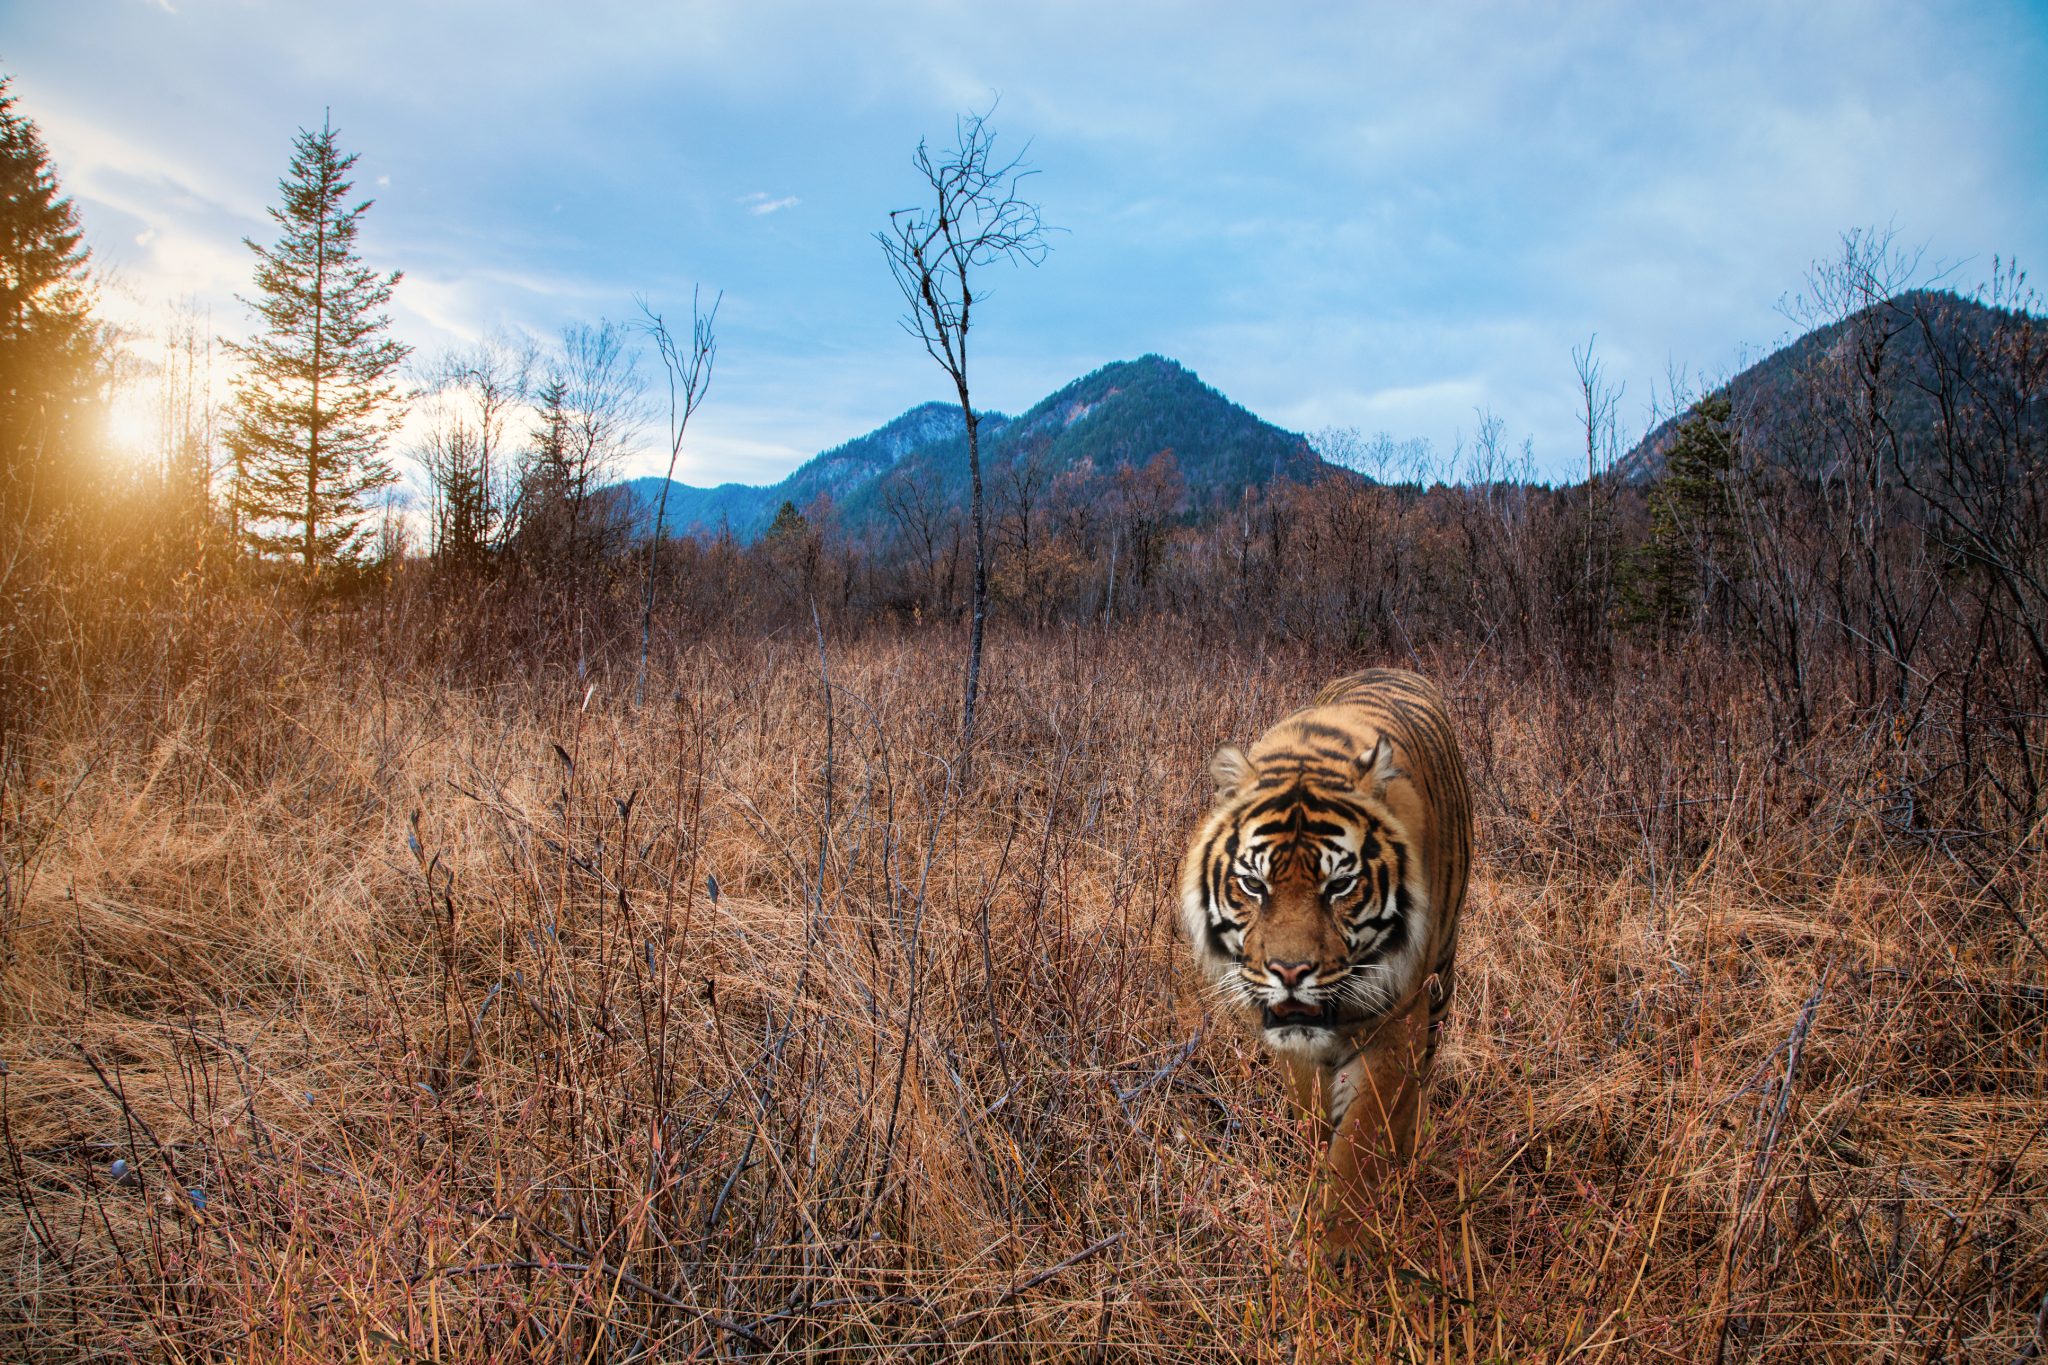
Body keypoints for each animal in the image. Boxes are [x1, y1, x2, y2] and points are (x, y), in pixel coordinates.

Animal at [1179, 667, 1472, 1251]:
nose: (1290, 972)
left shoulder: (1398, 1023)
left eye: (1339, 886)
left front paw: (1335, 1250)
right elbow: (1310, 1113)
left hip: (1441, 978)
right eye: (1254, 884)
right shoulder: (1289, 1037)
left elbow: (1358, 1144)